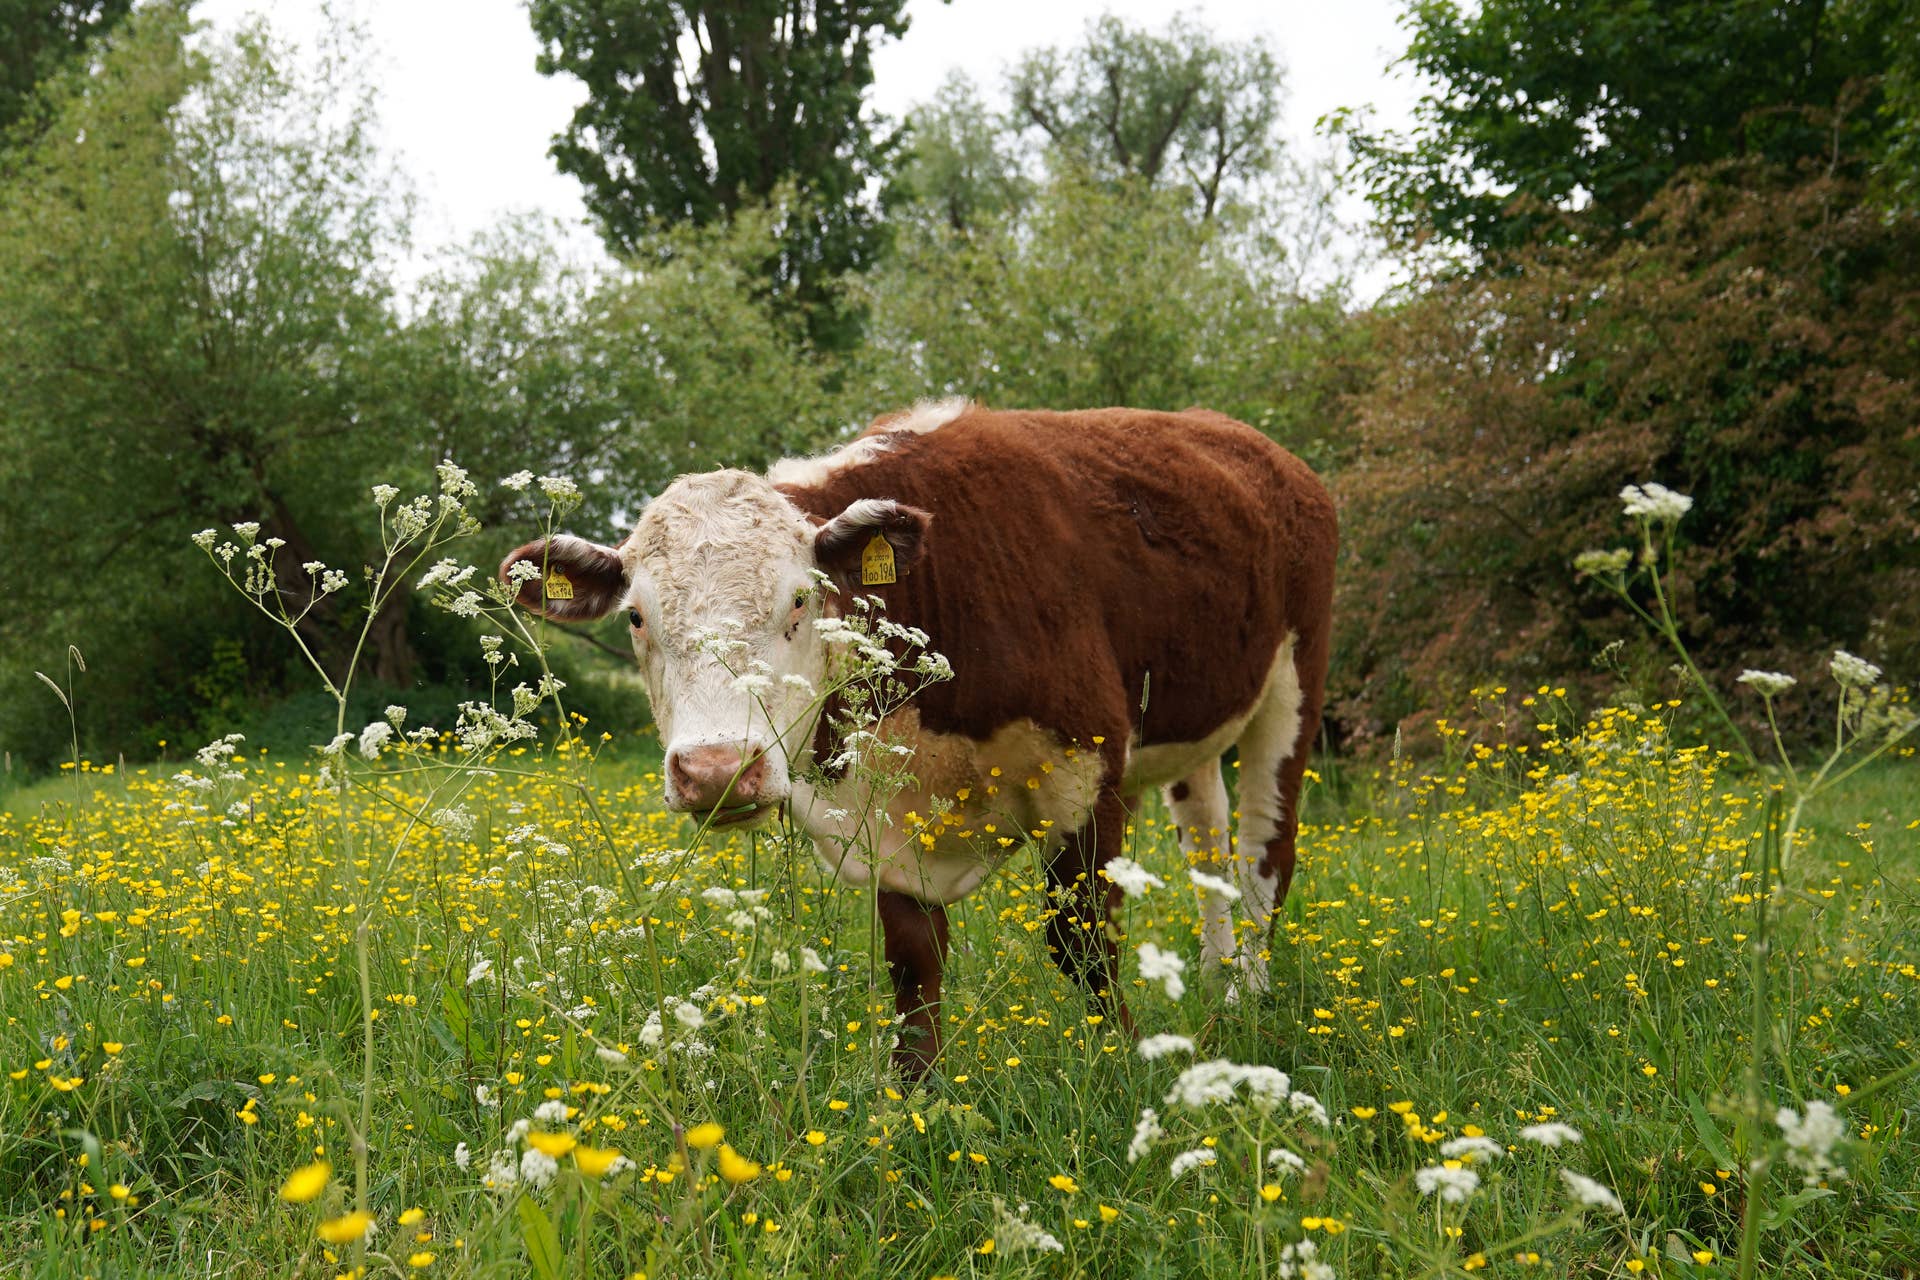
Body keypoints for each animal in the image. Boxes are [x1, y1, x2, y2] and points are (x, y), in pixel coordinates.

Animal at [500, 400, 1336, 1076]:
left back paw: (1249, 993)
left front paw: (1122, 1064)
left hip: (1294, 684)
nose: (715, 771)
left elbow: (1086, 942)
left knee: (1264, 850)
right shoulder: (884, 821)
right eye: (637, 617)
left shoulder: (1087, 769)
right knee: (1208, 848)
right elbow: (914, 963)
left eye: (799, 600)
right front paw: (916, 1099)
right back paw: (1219, 978)